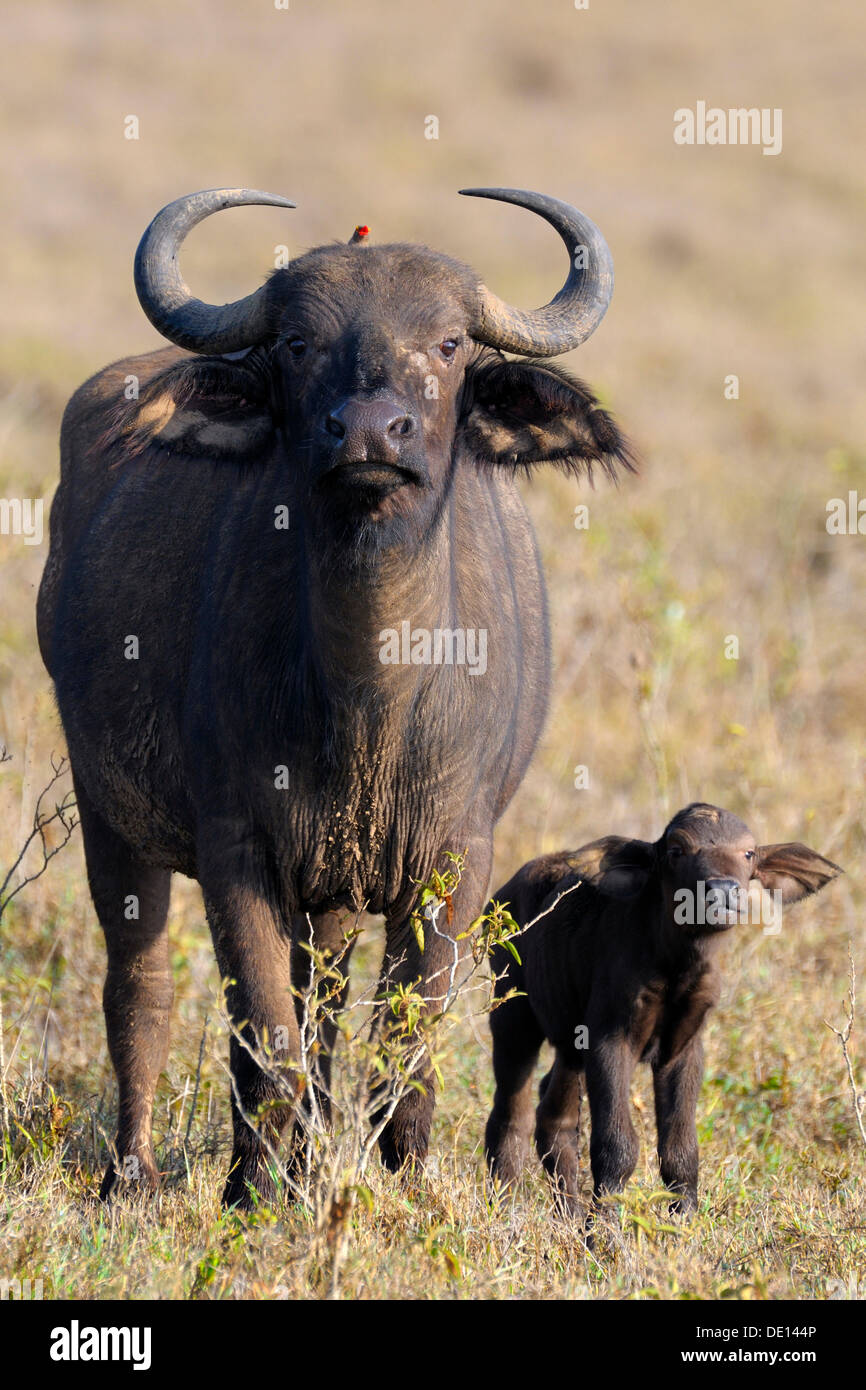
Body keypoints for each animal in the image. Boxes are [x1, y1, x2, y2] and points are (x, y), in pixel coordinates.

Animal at [37, 186, 635, 1208]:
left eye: (448, 343)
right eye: (297, 344)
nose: (367, 434)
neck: (370, 701)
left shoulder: (452, 863)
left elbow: (404, 1045)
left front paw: (403, 1179)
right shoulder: (235, 850)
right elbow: (261, 1037)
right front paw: (251, 1190)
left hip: (336, 895)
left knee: (325, 1007)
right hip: (110, 812)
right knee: (142, 988)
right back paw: (135, 1172)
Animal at [485, 803, 842, 1218]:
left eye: (748, 853)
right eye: (677, 850)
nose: (723, 892)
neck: (675, 962)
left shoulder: (684, 1046)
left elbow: (680, 1150)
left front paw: (683, 1222)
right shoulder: (611, 1038)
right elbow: (616, 1145)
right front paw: (604, 1230)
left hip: (568, 1041)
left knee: (553, 1115)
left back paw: (569, 1214)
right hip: (511, 1014)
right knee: (511, 1113)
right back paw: (503, 1206)